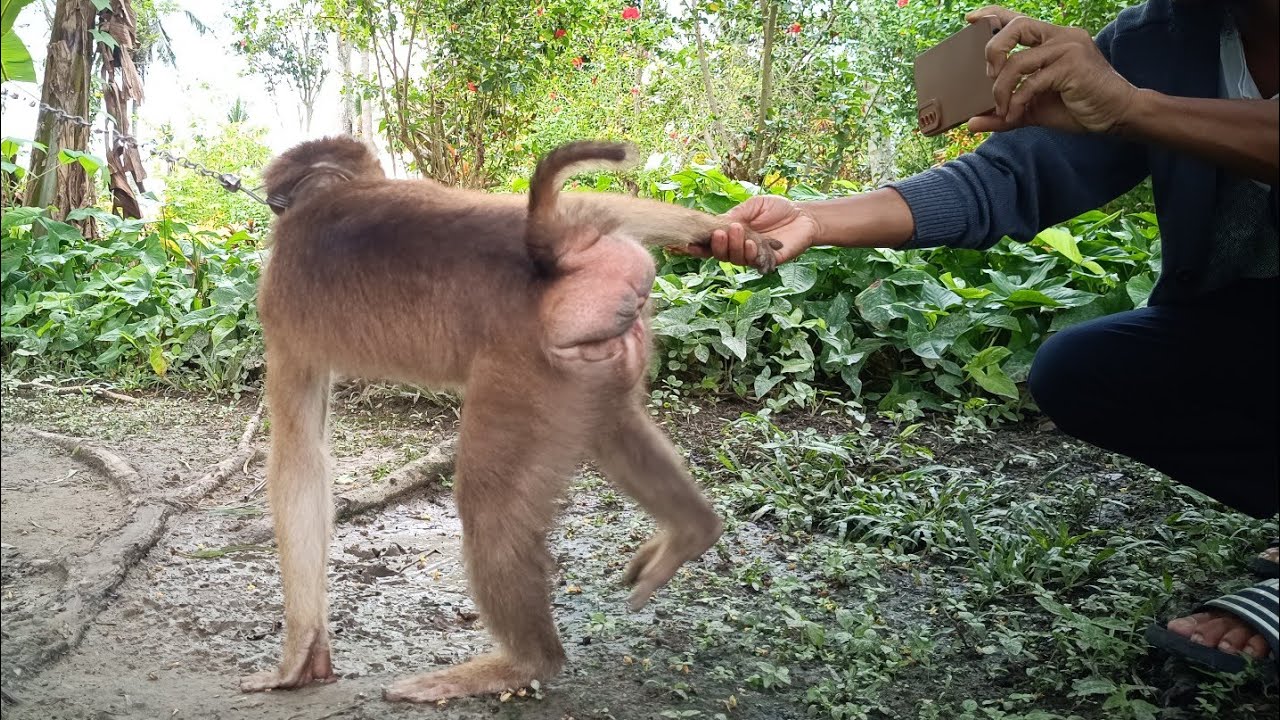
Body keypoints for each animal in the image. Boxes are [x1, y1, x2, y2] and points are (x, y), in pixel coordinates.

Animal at [239, 136, 782, 703]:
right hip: (593, 355)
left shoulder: (277, 303)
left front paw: (297, 655)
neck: (329, 196)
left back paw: (524, 663)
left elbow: (300, 463)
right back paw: (693, 530)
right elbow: (600, 205)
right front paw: (727, 233)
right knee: (611, 423)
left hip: (525, 372)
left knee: (489, 502)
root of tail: (558, 259)